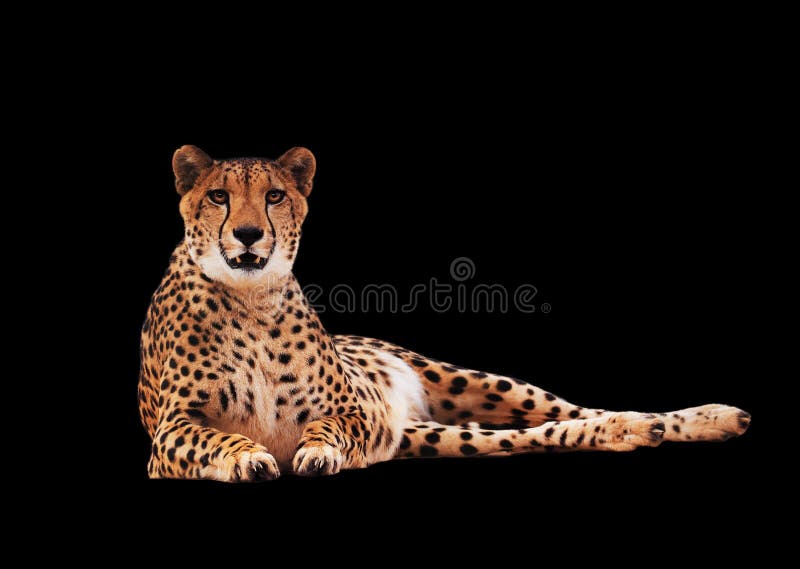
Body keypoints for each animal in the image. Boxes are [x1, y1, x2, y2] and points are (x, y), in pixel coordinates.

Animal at [138, 145, 751, 481]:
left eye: (274, 196)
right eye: (218, 196)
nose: (247, 234)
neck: (252, 299)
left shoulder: (360, 412)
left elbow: (331, 425)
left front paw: (315, 450)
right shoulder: (168, 434)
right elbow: (215, 439)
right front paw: (248, 458)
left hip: (477, 383)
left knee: (578, 411)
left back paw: (687, 419)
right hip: (438, 435)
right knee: (547, 433)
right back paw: (638, 432)